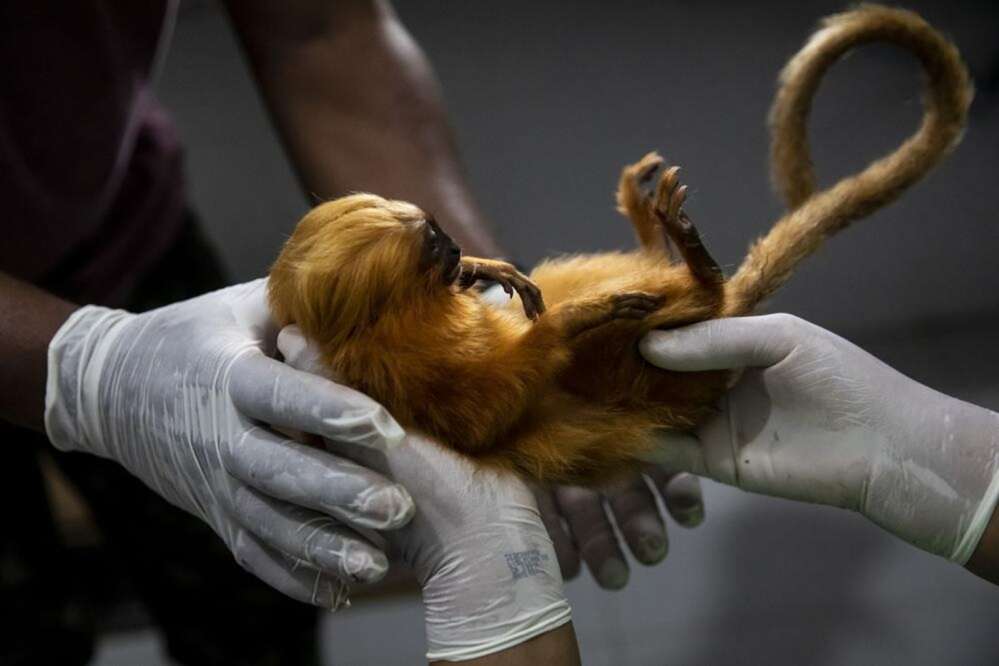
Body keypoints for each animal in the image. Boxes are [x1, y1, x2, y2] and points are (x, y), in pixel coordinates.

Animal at [268, 5, 972, 484]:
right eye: (433, 245)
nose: (454, 248)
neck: (408, 316)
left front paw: (485, 269)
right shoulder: (408, 376)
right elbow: (490, 418)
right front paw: (571, 320)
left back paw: (656, 228)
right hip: (666, 367)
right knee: (655, 326)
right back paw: (696, 266)